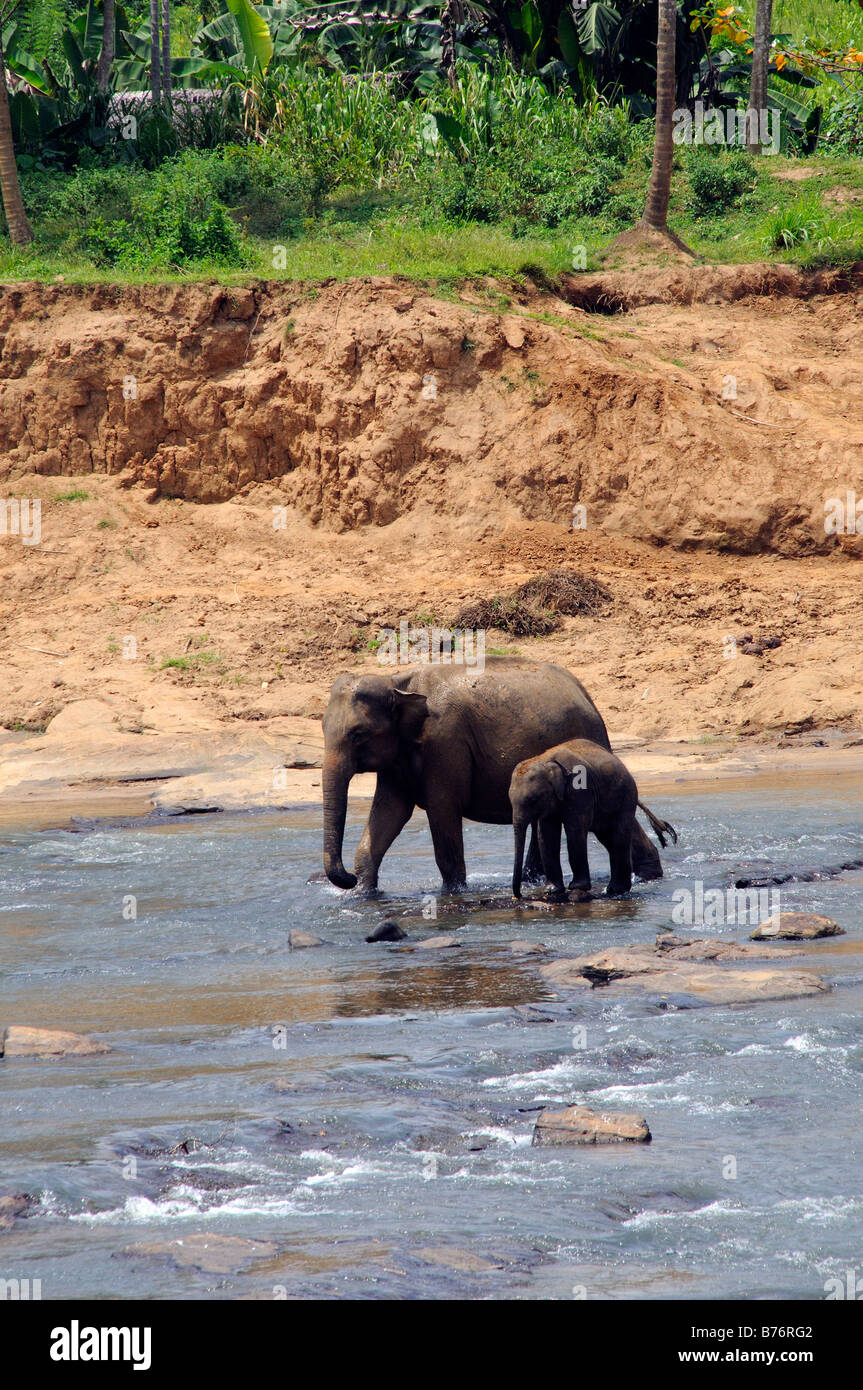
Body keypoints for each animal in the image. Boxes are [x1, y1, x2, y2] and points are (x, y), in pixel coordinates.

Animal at [510, 738, 659, 899]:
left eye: (534, 800)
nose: (519, 896)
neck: (544, 760)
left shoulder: (580, 790)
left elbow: (575, 830)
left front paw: (577, 888)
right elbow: (546, 834)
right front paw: (551, 890)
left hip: (626, 797)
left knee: (618, 839)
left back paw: (616, 890)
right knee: (608, 839)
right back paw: (615, 890)